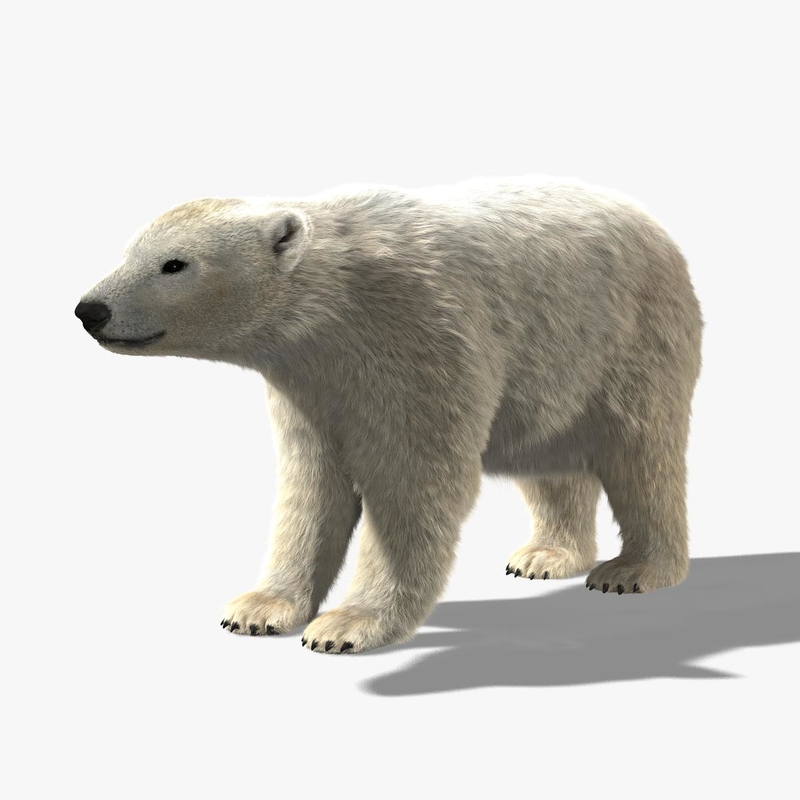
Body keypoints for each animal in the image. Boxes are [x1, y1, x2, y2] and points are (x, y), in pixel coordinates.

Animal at [75, 176, 703, 654]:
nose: (90, 309)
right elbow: (311, 487)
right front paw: (257, 609)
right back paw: (543, 556)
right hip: (555, 370)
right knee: (550, 456)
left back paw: (633, 571)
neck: (336, 306)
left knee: (642, 453)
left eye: (174, 264)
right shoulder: (310, 384)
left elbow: (414, 484)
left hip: (628, 337)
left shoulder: (418, 337)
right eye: (129, 251)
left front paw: (346, 625)